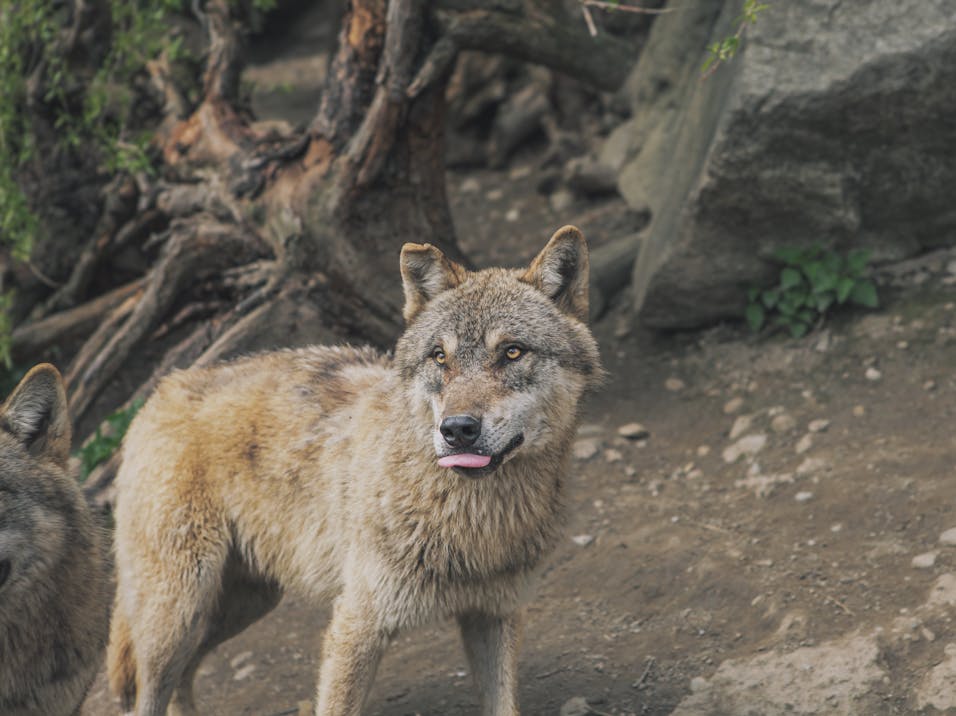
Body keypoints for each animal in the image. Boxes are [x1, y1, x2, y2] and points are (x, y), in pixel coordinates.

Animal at [107, 225, 603, 716]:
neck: (475, 523)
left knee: (185, 677)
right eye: (440, 357)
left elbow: (504, 705)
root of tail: (158, 393)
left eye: (512, 353)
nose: (457, 430)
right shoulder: (357, 624)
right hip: (177, 614)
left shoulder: (494, 615)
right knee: (150, 691)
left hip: (243, 603)